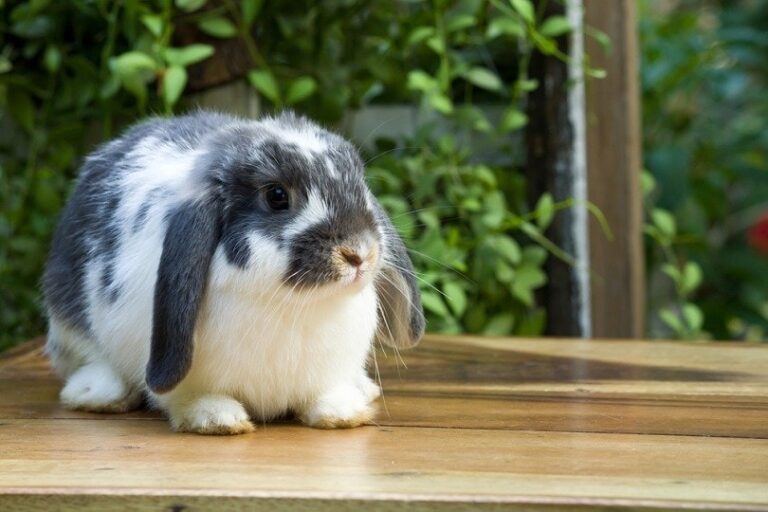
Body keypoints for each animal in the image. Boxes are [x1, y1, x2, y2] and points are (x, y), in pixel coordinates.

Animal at [42, 110, 424, 435]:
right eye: (276, 195)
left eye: (359, 185)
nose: (359, 253)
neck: (294, 305)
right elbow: (190, 396)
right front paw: (216, 417)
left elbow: (324, 394)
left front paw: (342, 412)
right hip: (68, 322)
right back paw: (97, 393)